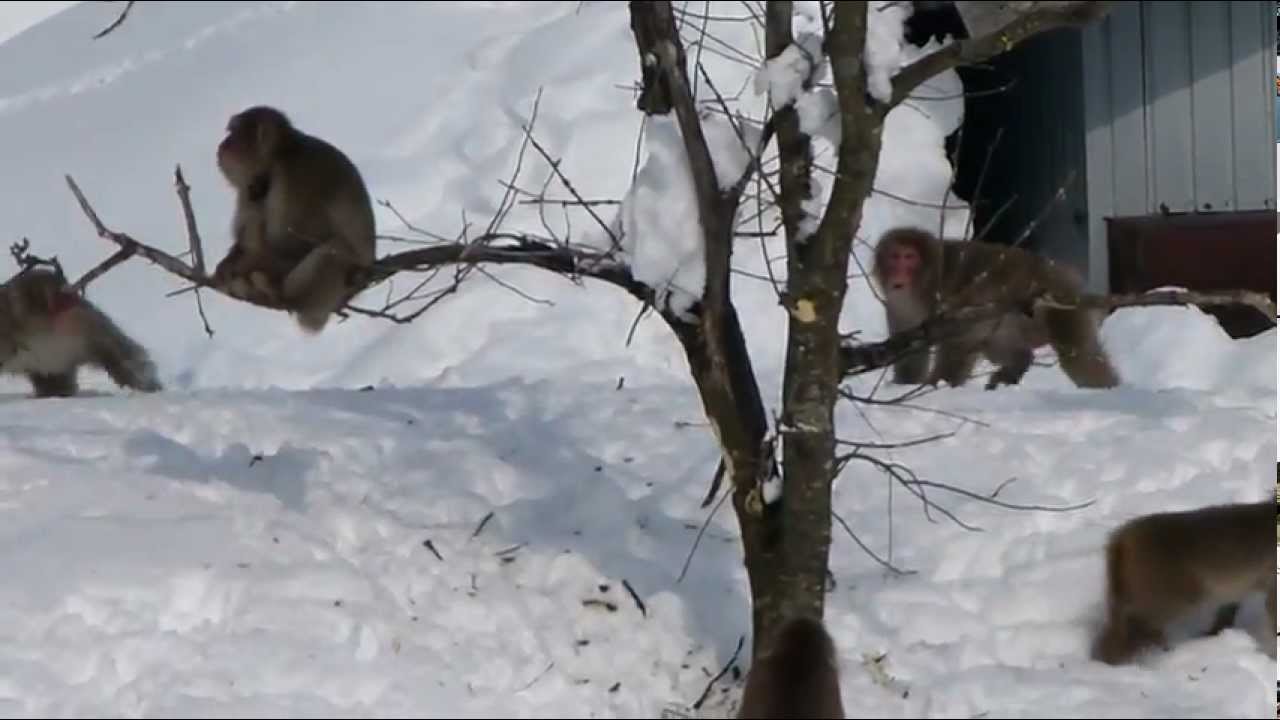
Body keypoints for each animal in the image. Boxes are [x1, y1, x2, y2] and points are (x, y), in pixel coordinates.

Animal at [212, 104, 377, 334]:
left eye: (233, 133)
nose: (222, 146)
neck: (279, 156)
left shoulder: (296, 178)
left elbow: (293, 242)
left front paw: (241, 265)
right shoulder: (250, 189)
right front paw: (227, 264)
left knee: (333, 249)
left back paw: (278, 292)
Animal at [871, 226, 1121, 390]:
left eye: (909, 257)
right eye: (895, 256)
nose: (898, 273)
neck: (925, 282)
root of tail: (1063, 273)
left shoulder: (950, 293)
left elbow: (960, 340)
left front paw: (935, 387)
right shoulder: (901, 307)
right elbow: (911, 346)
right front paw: (904, 385)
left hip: (1062, 305)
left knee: (1079, 358)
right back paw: (1013, 369)